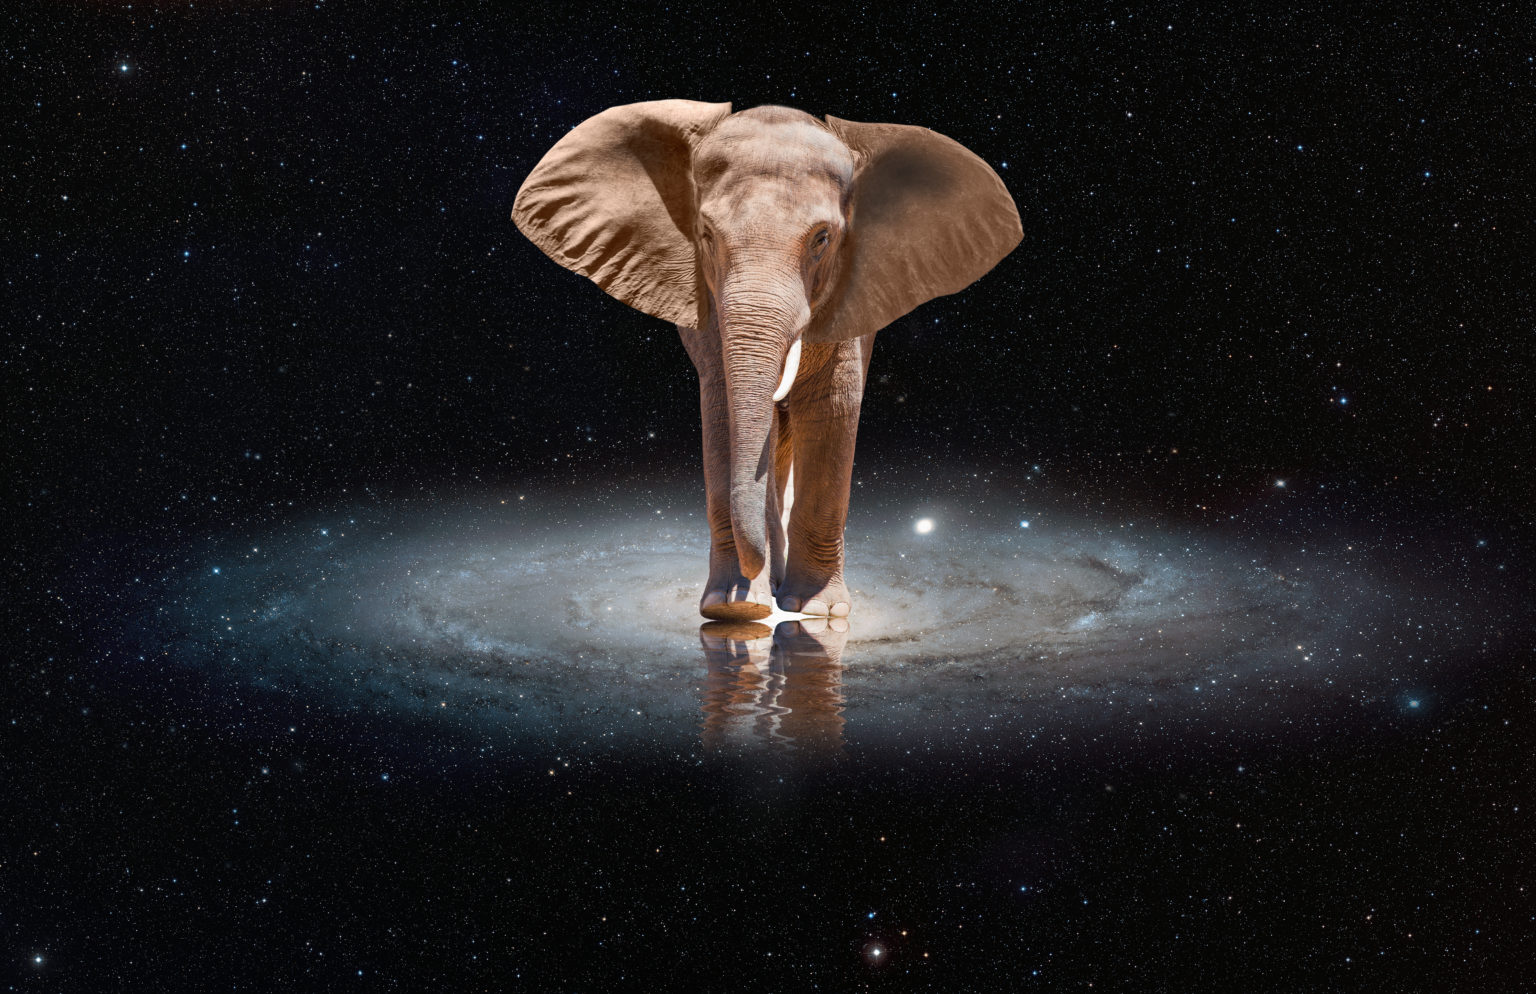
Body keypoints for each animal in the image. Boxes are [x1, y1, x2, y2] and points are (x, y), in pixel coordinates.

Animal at [513, 100, 1021, 621]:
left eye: (822, 239)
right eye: (705, 235)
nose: (757, 584)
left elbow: (832, 407)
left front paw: (820, 612)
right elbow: (722, 410)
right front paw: (732, 608)